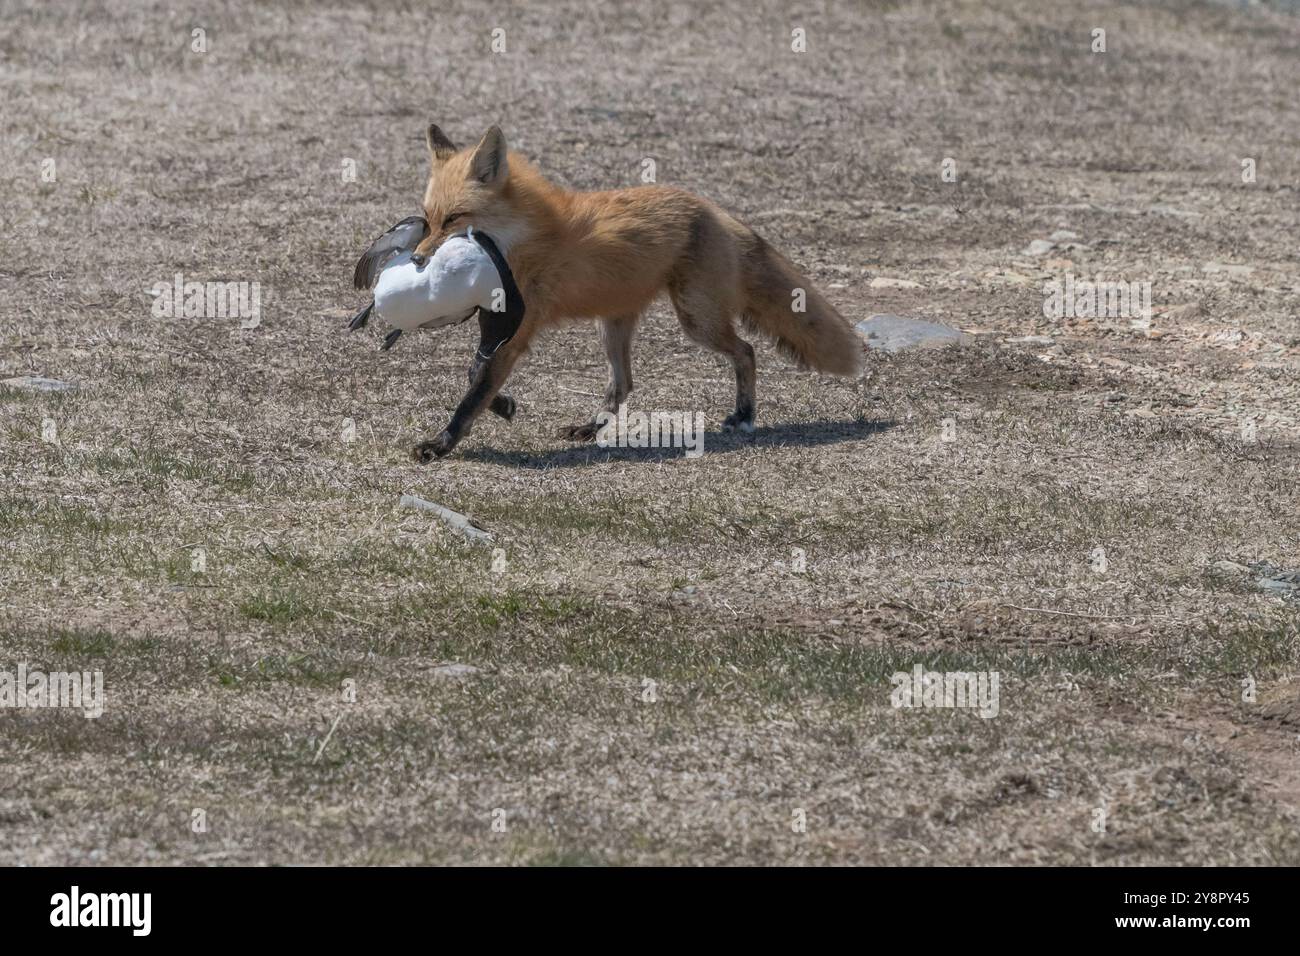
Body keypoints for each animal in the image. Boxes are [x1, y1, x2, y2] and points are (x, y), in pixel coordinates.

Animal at [404, 123, 863, 461]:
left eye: (454, 219)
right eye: (428, 219)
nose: (417, 259)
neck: (524, 240)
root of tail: (711, 207)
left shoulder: (515, 331)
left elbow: (471, 396)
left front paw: (441, 444)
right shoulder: (498, 327)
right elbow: (475, 377)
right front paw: (502, 405)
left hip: (696, 320)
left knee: (746, 351)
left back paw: (744, 415)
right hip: (614, 326)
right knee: (624, 384)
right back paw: (591, 427)